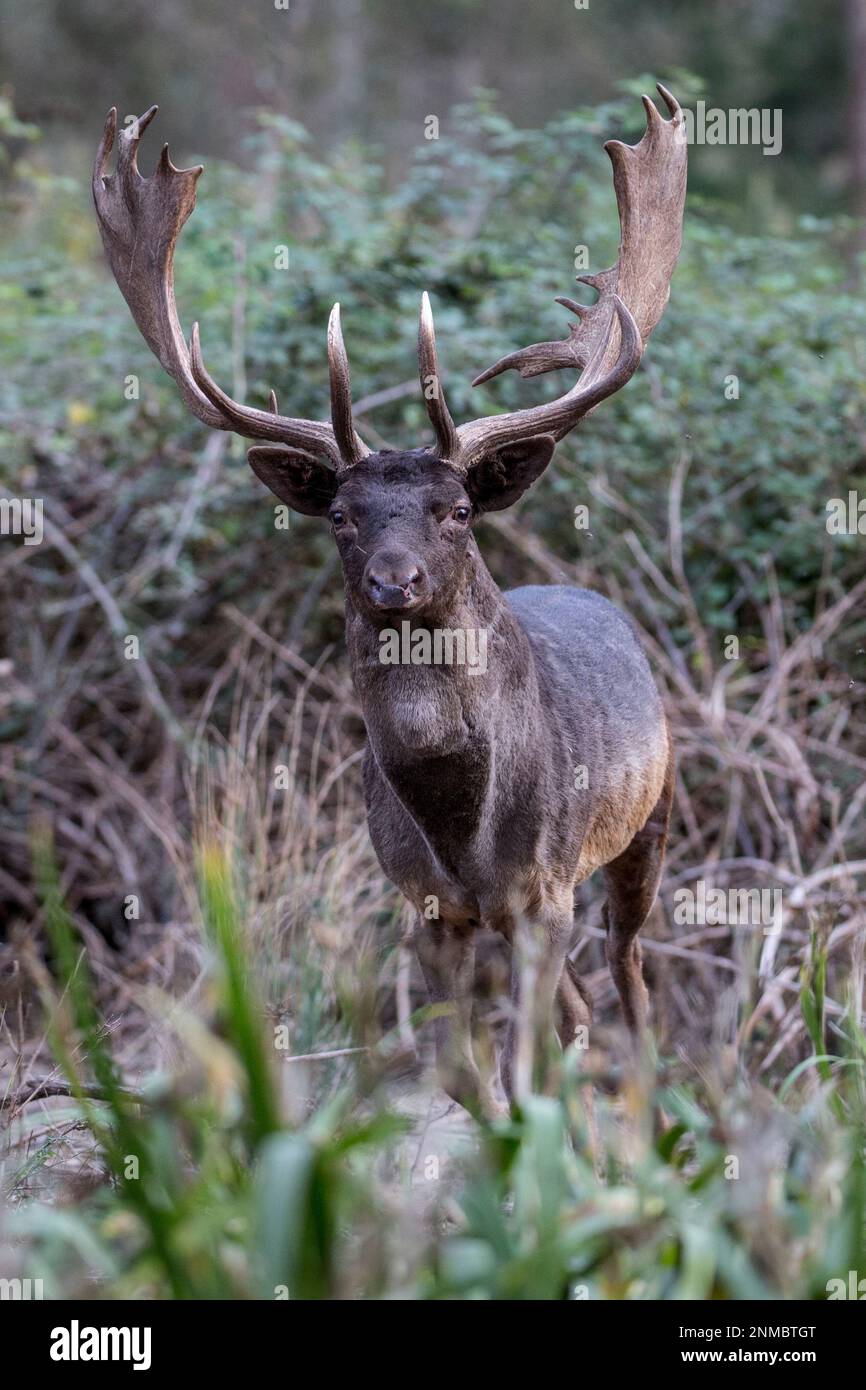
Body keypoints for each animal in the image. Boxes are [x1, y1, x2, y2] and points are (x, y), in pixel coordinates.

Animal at [93, 87, 687, 1120]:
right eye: (340, 514)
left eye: (457, 511)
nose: (393, 582)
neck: (463, 830)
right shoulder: (424, 904)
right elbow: (464, 1069)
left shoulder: (544, 891)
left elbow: (524, 1058)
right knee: (581, 1009)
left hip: (646, 823)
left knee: (632, 983)